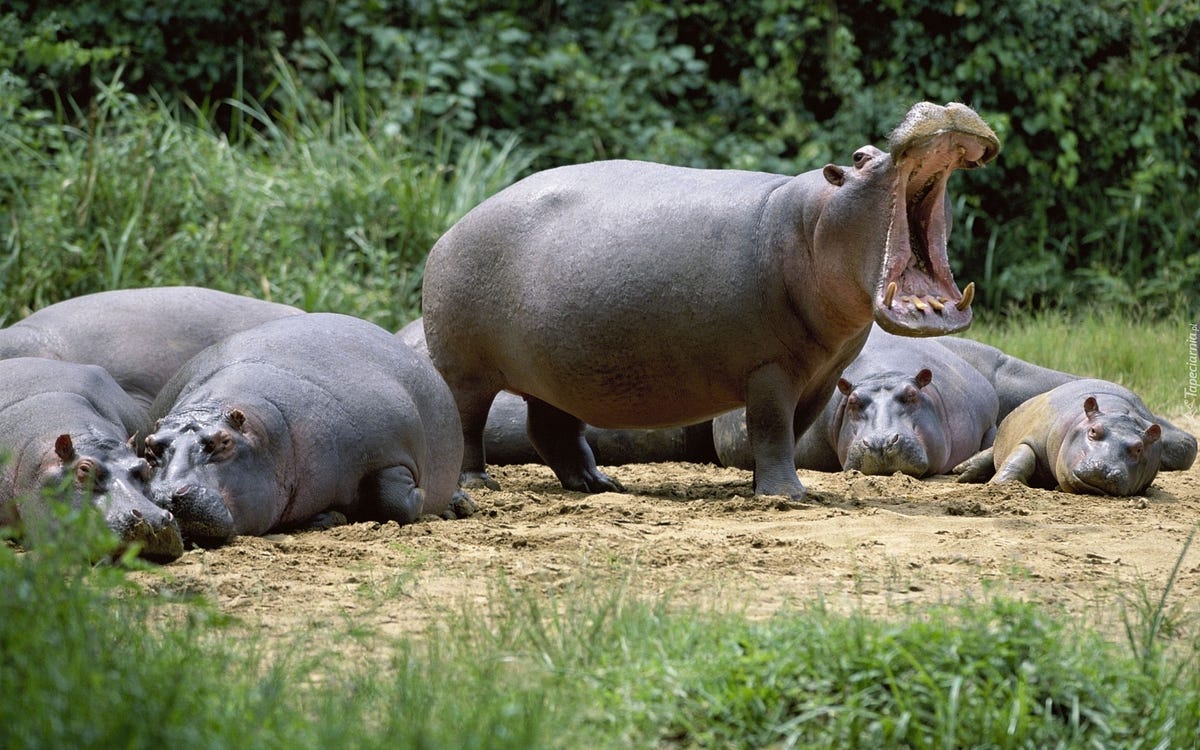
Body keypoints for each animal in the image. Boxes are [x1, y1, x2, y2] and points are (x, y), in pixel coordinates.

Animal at [144, 313, 469, 545]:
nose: (165, 495)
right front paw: (331, 516)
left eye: (223, 442)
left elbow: (393, 501)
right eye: (150, 446)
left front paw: (423, 496)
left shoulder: (392, 450)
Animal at [956, 379, 1189, 495]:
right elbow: (1020, 458)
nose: (1104, 468)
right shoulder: (1034, 437)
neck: (1118, 412)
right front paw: (1001, 485)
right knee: (991, 453)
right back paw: (962, 472)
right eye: (1093, 431)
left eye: (1139, 448)